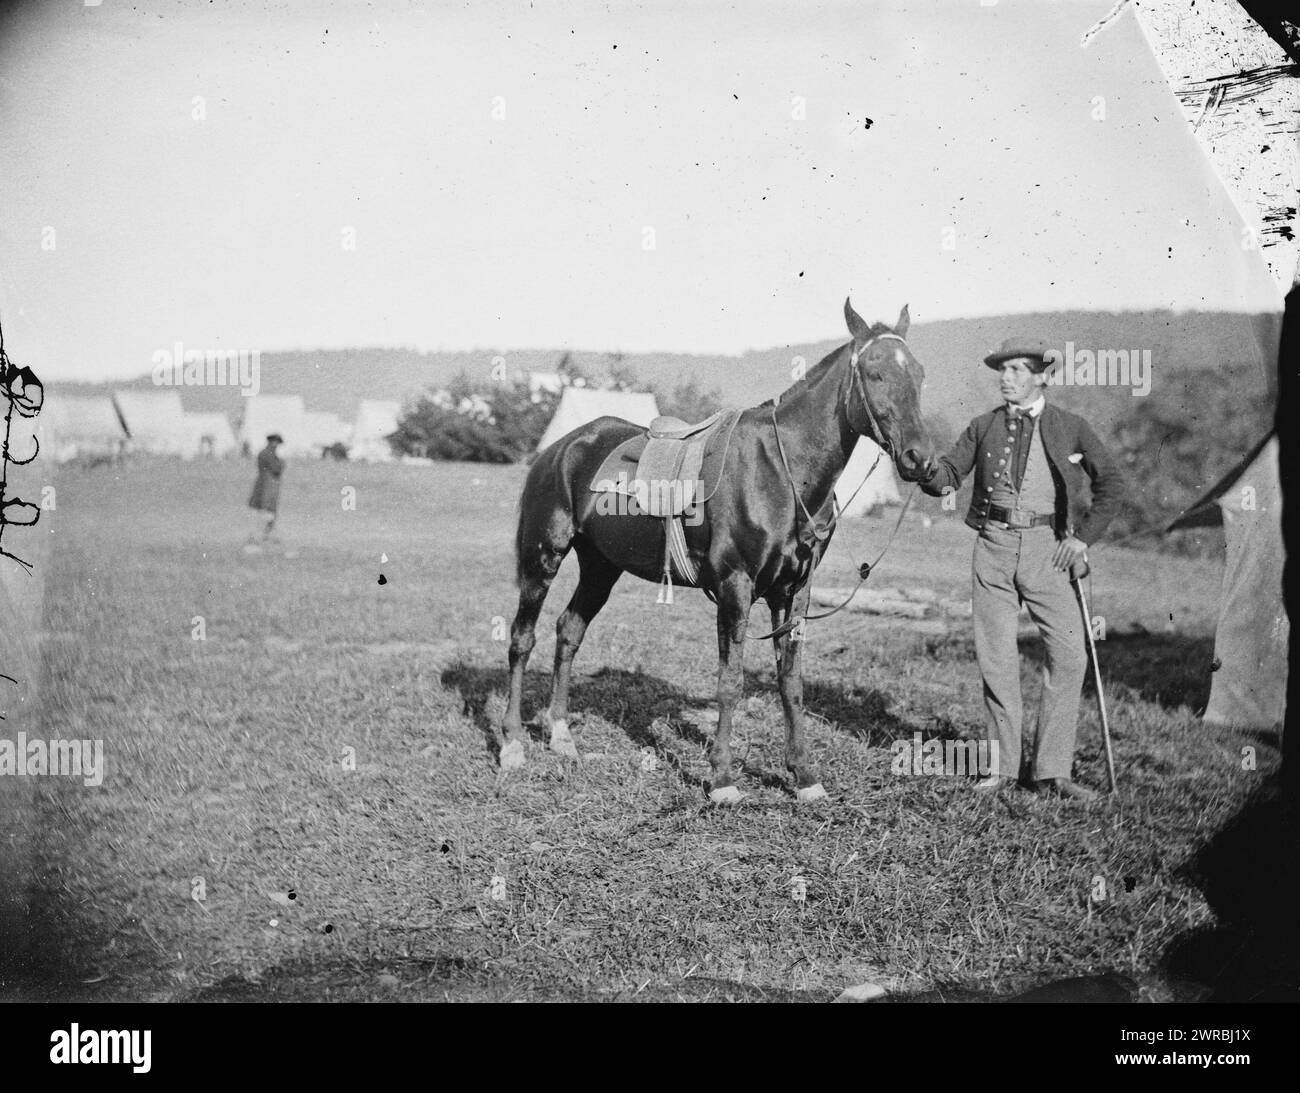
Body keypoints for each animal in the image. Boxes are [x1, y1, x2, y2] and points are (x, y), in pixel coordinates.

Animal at [502, 299, 936, 802]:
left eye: (918, 373)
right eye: (874, 371)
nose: (920, 460)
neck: (782, 471)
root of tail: (559, 449)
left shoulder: (794, 593)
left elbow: (791, 682)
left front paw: (804, 777)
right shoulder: (735, 586)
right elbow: (731, 682)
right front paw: (724, 779)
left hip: (600, 567)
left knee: (569, 631)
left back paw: (561, 736)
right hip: (543, 556)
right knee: (522, 638)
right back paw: (511, 744)